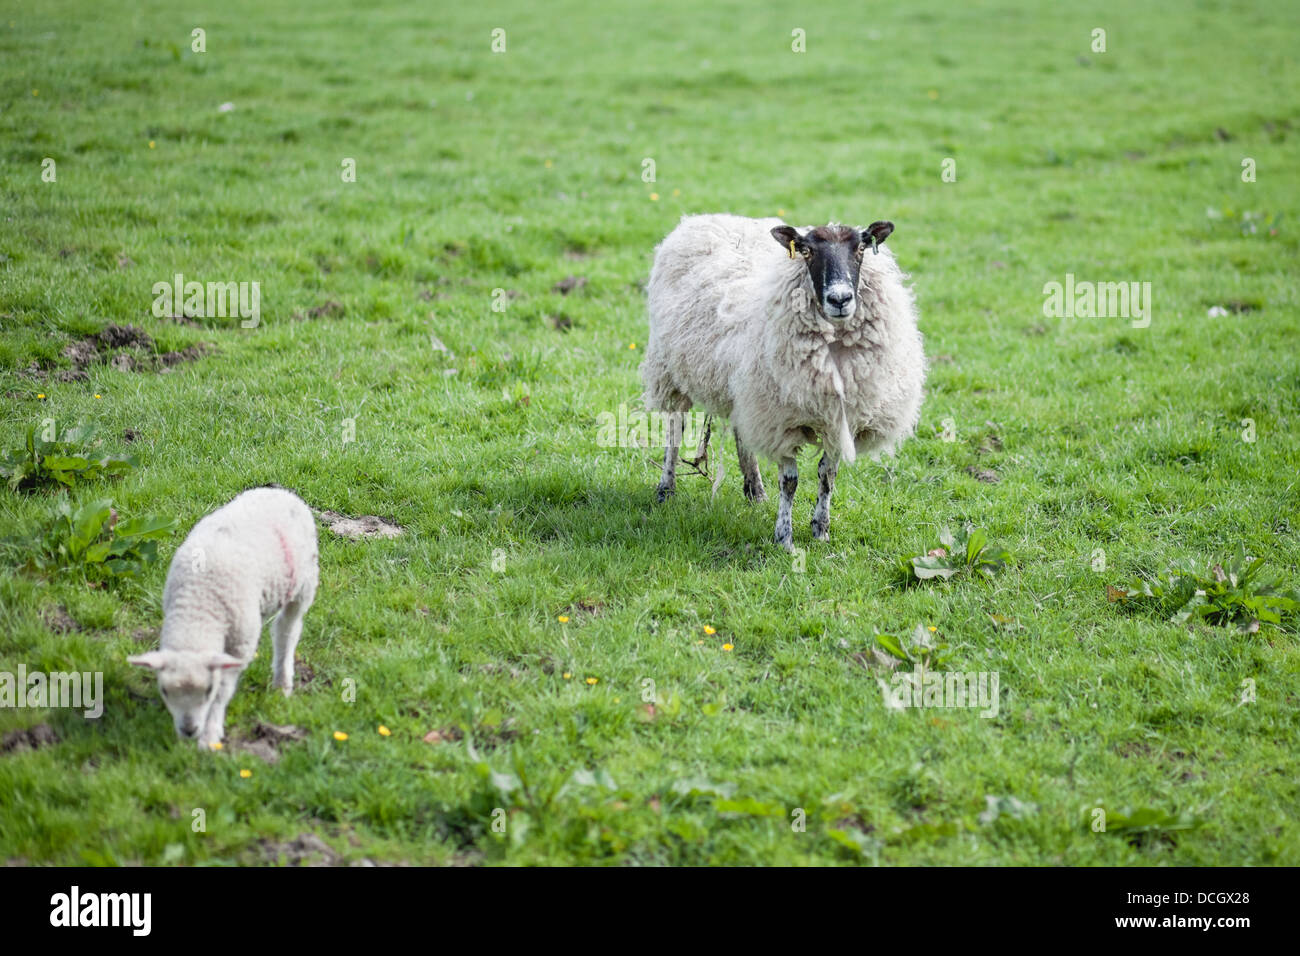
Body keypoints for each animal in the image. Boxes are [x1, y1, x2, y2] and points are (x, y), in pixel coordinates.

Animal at [127, 487, 319, 748]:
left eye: (208, 690)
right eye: (164, 691)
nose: (188, 730)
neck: (198, 607)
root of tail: (281, 491)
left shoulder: (239, 646)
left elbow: (223, 692)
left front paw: (209, 736)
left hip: (304, 584)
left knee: (287, 630)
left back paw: (282, 683)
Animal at [641, 213, 925, 550]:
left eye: (860, 249)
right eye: (807, 252)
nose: (839, 299)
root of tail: (708, 218)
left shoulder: (838, 418)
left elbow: (827, 475)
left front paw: (820, 530)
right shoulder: (781, 420)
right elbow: (790, 482)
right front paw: (784, 538)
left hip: (745, 390)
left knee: (741, 435)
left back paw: (755, 491)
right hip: (669, 370)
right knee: (674, 429)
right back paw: (666, 489)